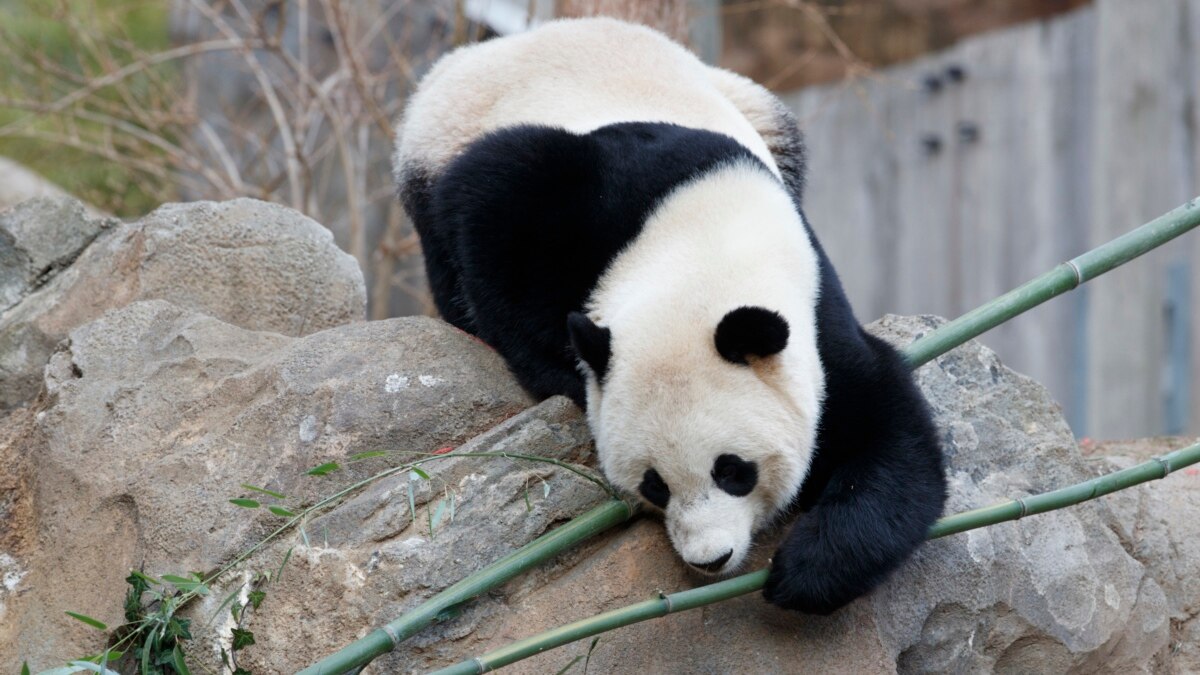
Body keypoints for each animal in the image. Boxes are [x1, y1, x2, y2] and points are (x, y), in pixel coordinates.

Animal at [393, 17, 946, 614]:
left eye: (734, 471)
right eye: (654, 483)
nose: (712, 559)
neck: (710, 245)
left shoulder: (817, 328)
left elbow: (894, 441)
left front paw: (804, 572)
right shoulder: (571, 194)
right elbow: (490, 211)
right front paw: (565, 371)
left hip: (755, 106)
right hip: (437, 133)